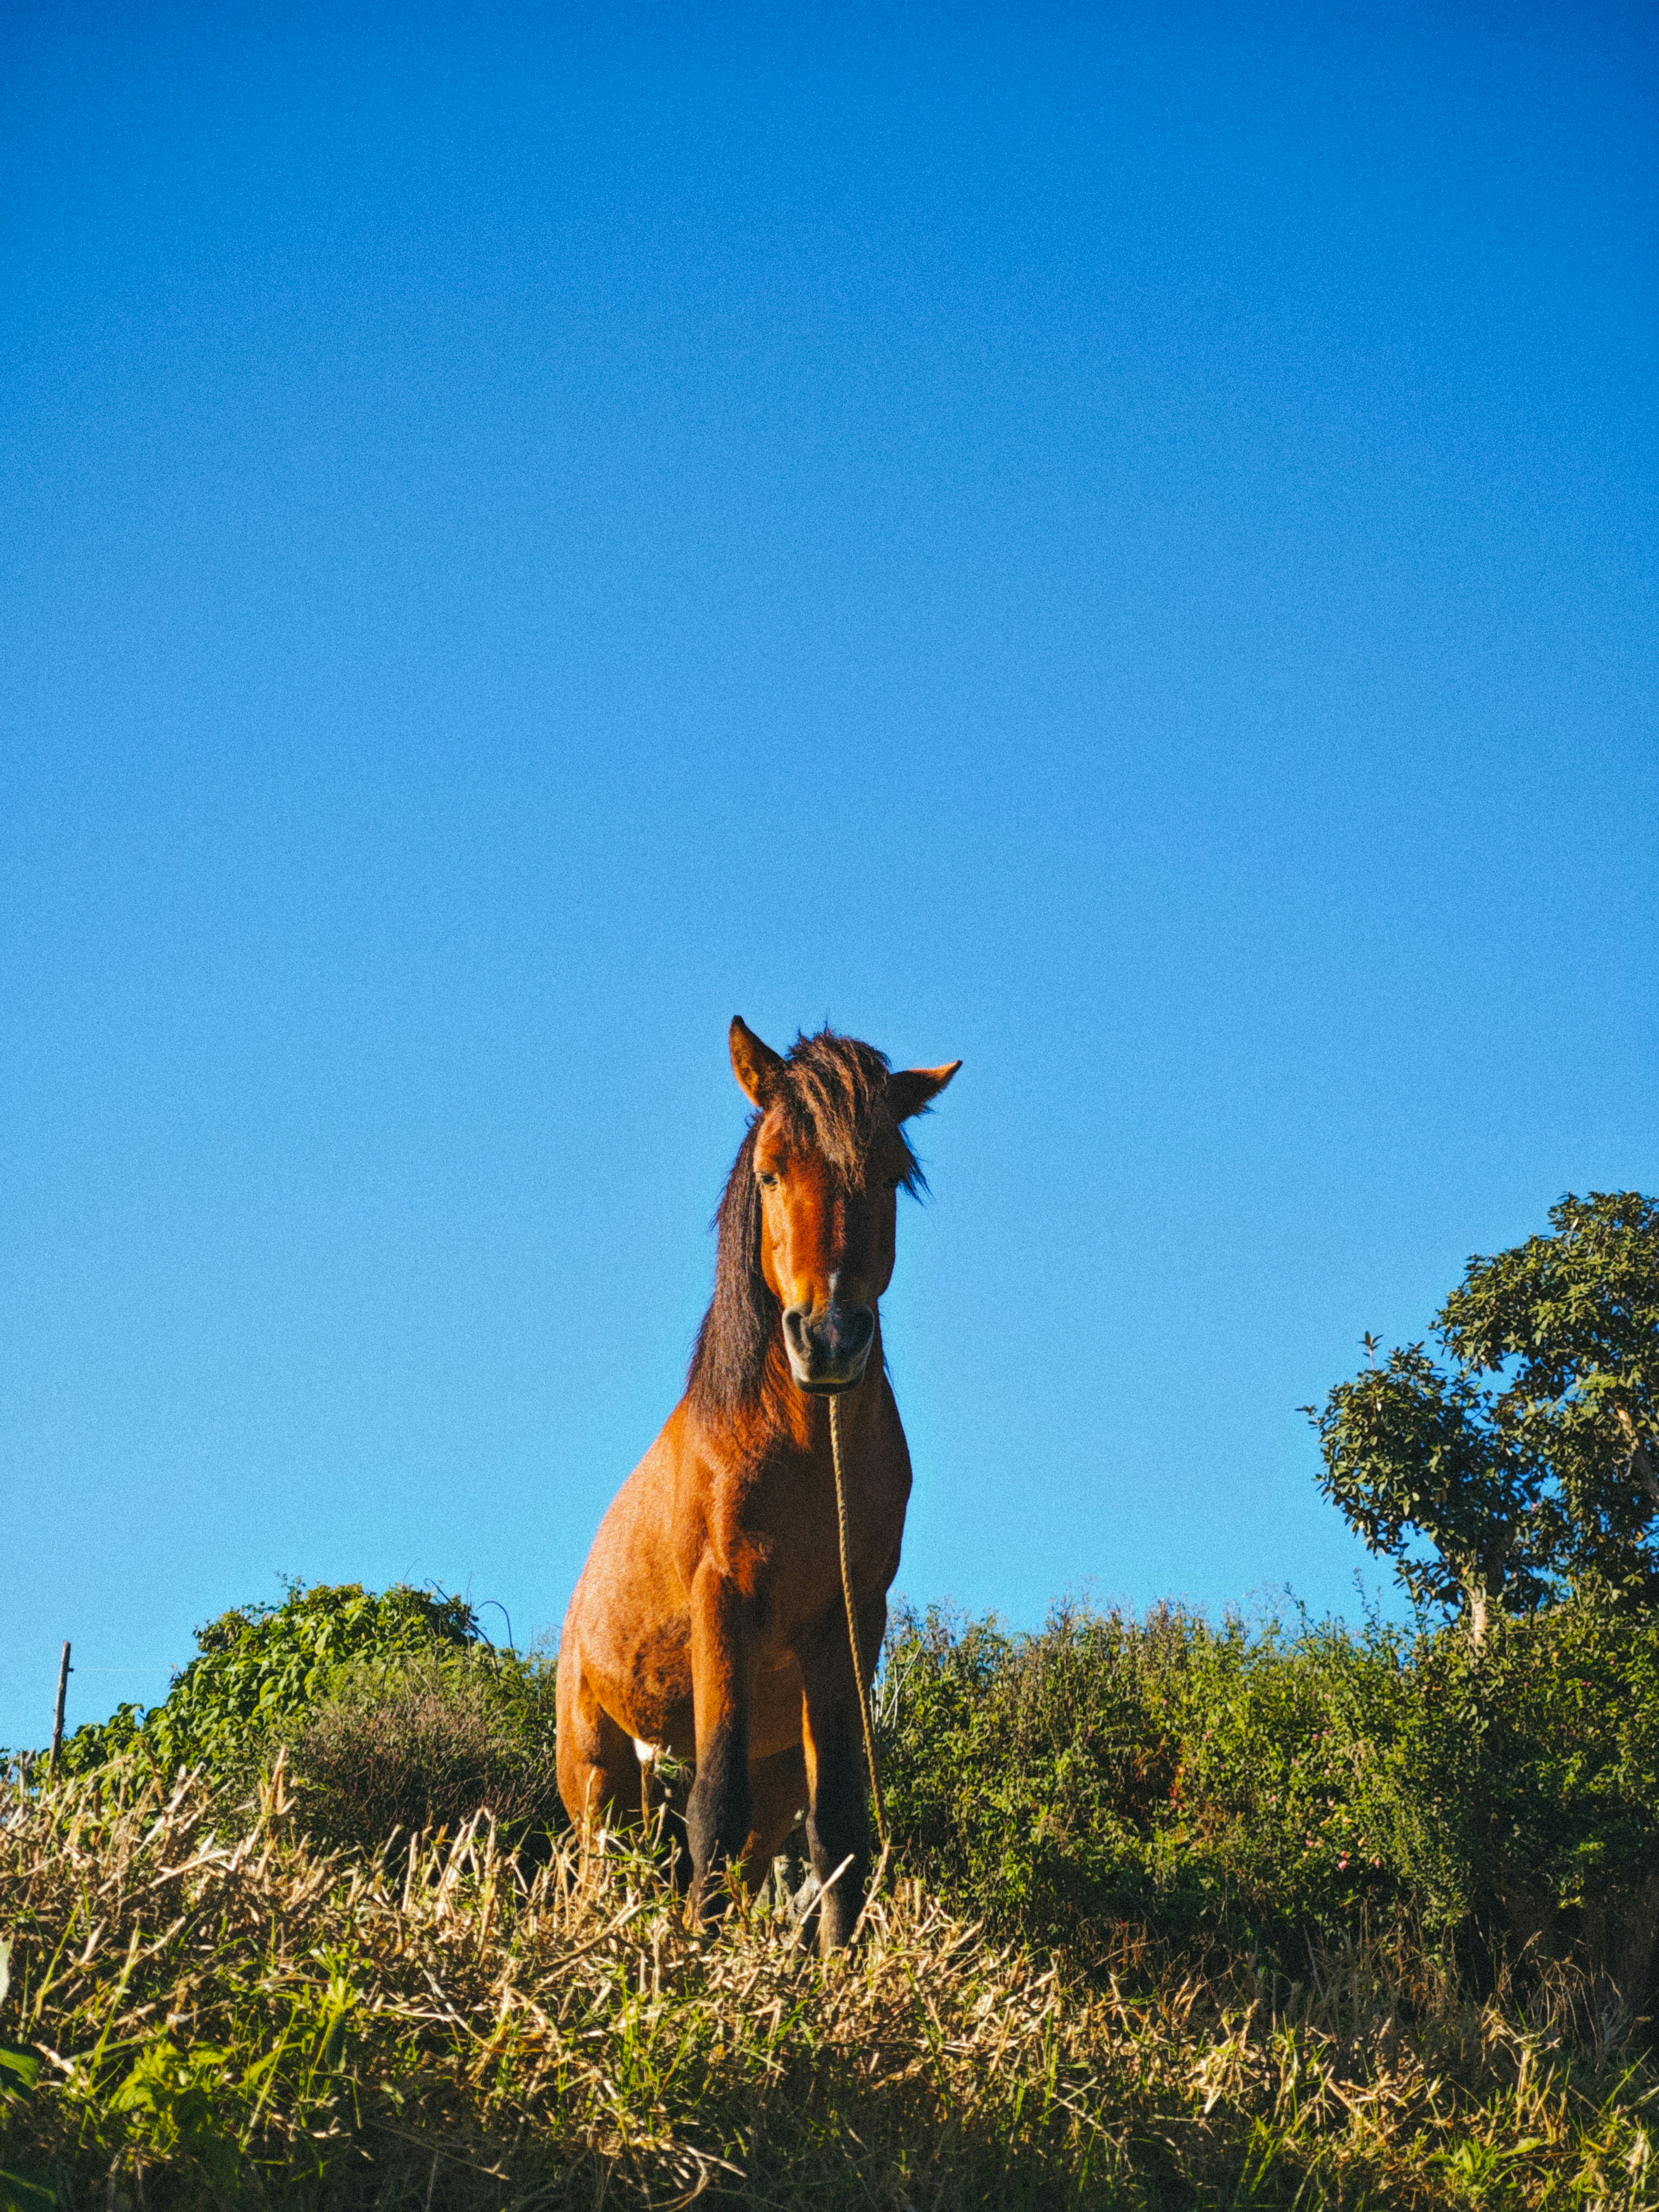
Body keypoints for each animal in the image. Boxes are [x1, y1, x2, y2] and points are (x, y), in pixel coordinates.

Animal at [556, 1018, 960, 1949]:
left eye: (892, 1173)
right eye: (772, 1169)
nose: (831, 1338)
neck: (803, 1452)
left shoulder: (849, 1624)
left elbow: (839, 1827)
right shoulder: (723, 1603)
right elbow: (714, 1807)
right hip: (597, 1781)